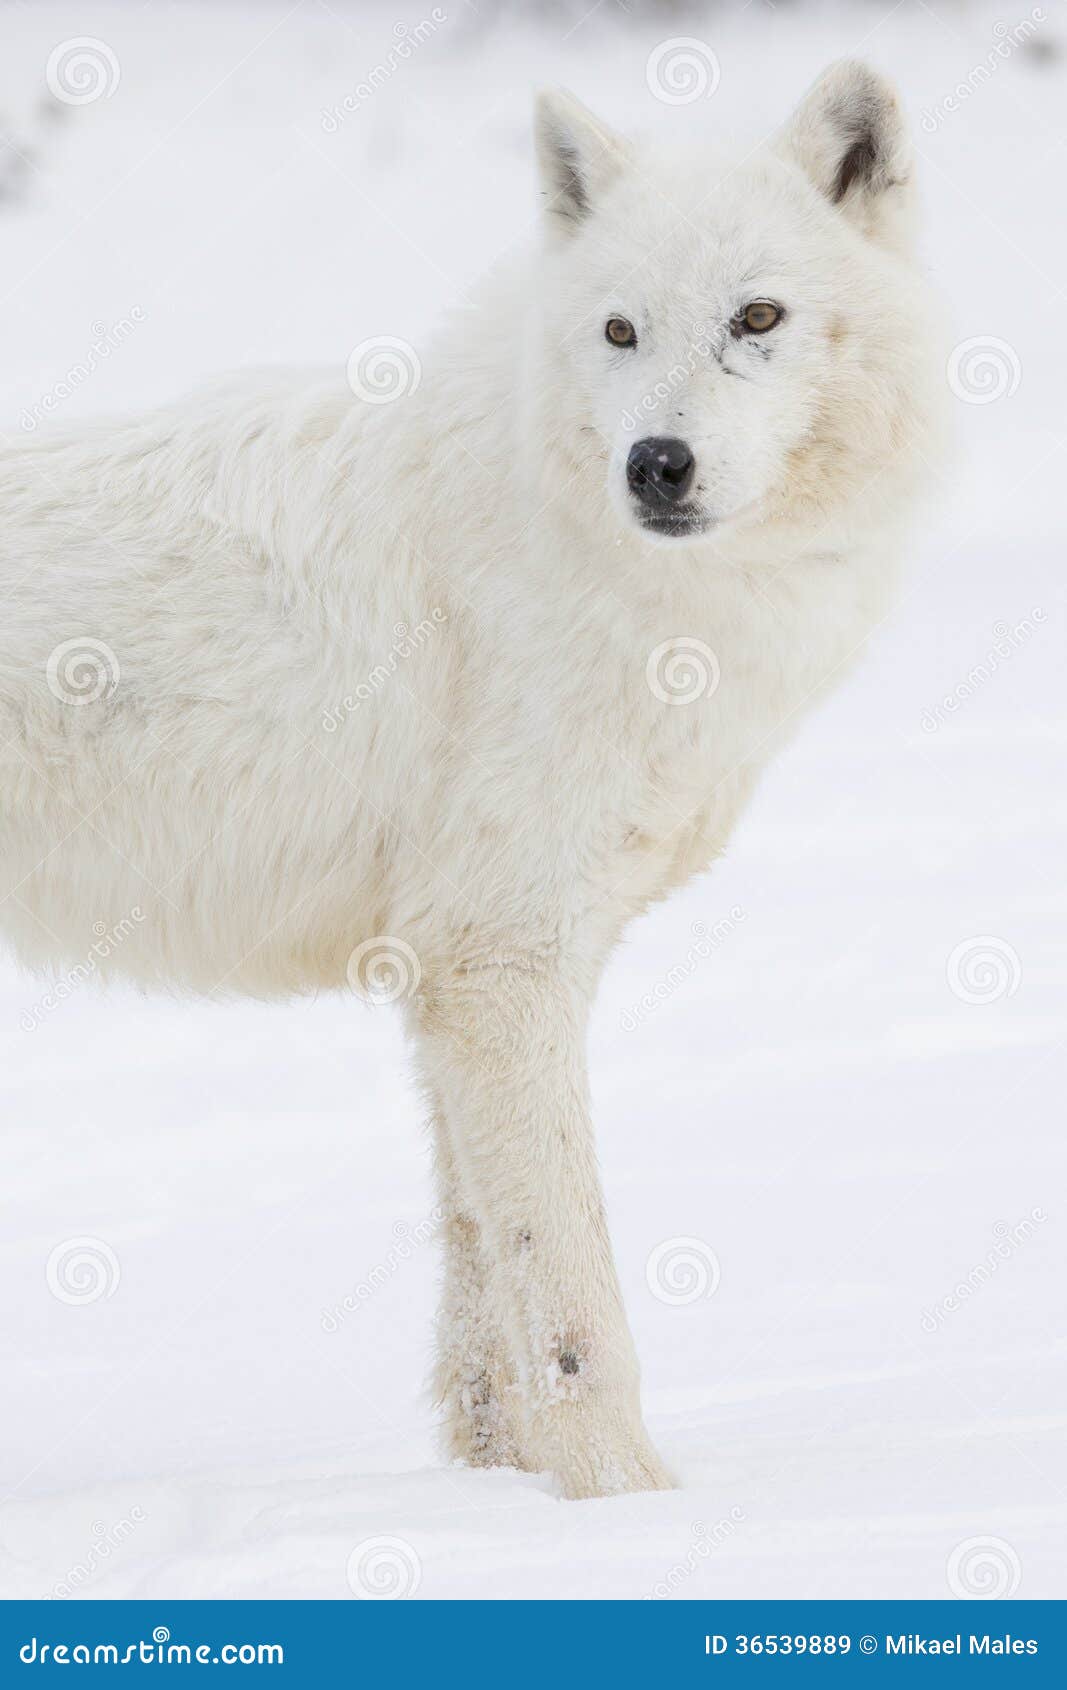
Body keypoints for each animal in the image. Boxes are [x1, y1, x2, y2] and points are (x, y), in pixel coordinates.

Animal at [0, 62, 939, 1498]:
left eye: (756, 318)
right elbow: (571, 1303)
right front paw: (630, 1505)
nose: (654, 464)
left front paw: (504, 1496)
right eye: (617, 330)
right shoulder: (501, 961)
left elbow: (480, 1299)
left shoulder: (458, 972)